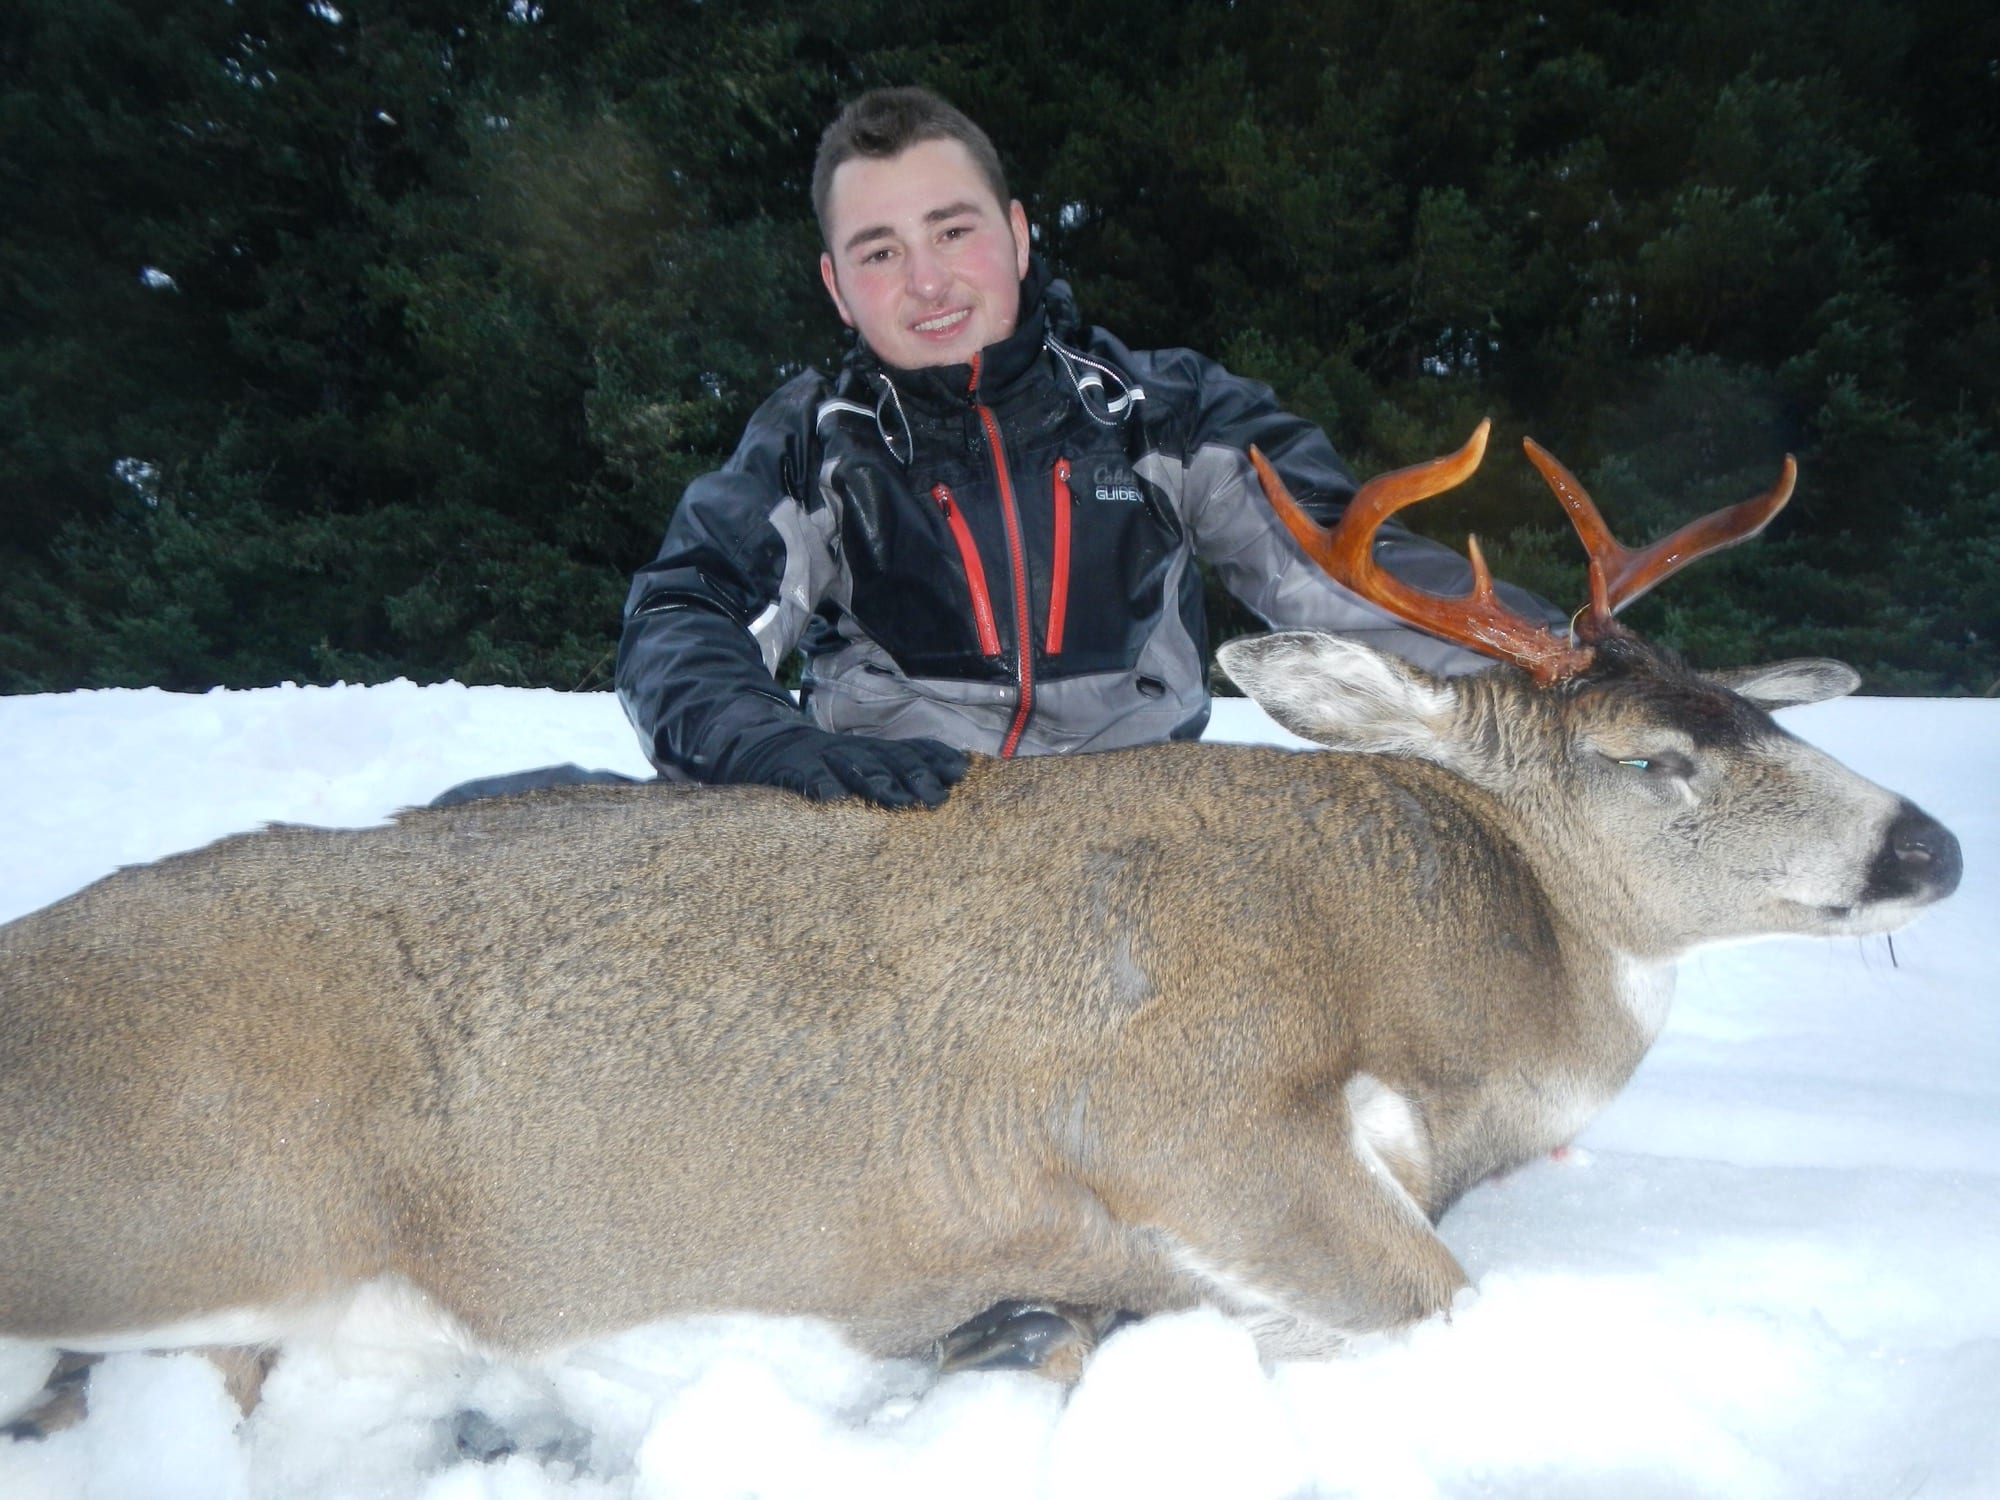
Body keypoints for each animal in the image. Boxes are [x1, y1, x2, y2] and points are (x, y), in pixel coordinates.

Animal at [0, 423, 1961, 1432]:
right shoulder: (1179, 1101)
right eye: (1656, 760)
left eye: (1757, 713)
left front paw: (1032, 1336)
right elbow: (1433, 1303)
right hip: (194, 1199)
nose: (1932, 844)